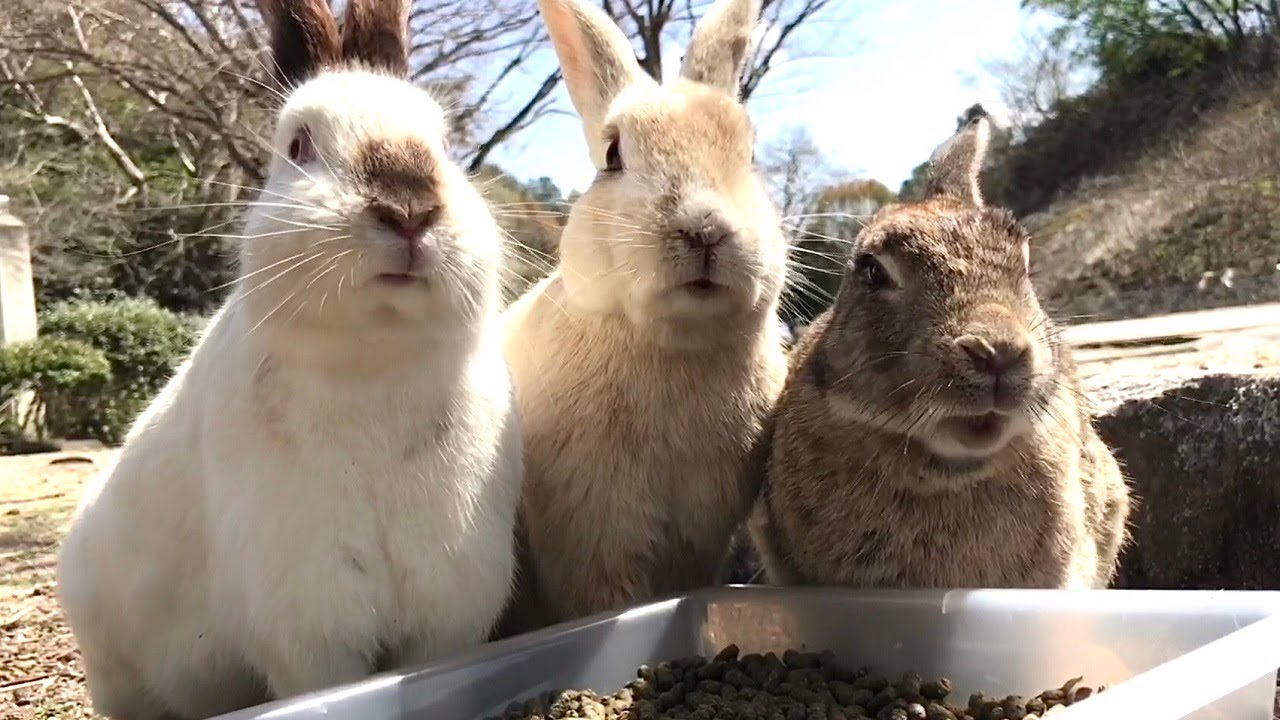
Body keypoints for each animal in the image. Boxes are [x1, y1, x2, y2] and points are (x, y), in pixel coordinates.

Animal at [54, 1, 522, 717]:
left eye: (445, 146)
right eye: (298, 145)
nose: (409, 207)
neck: (371, 369)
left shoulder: (450, 597)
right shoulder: (306, 617)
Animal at [492, 0, 789, 636]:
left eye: (750, 154)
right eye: (612, 155)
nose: (705, 229)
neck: (676, 347)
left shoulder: (700, 538)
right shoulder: (593, 534)